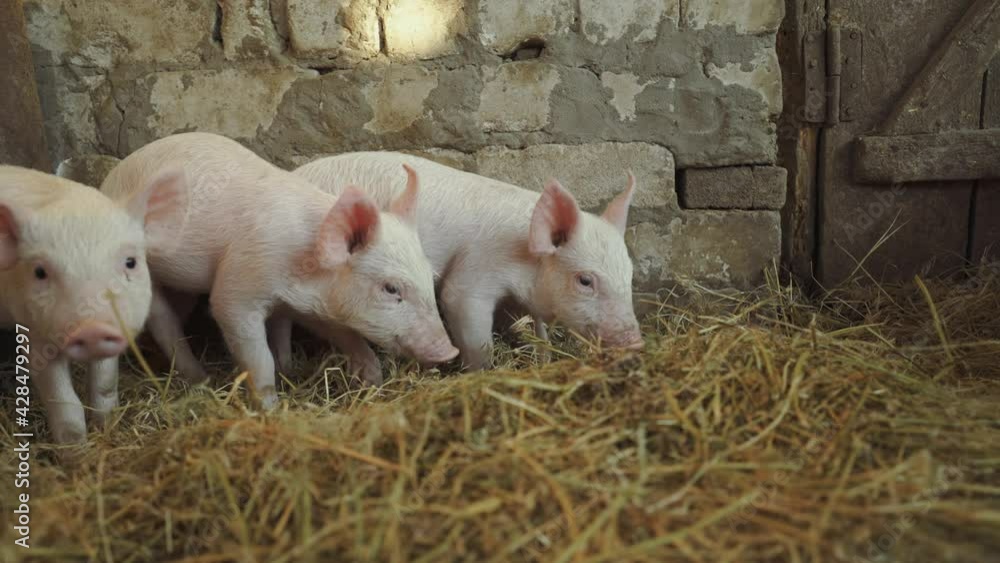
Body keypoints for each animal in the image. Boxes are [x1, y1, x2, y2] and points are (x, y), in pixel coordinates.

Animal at [0, 166, 154, 443]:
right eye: (40, 272)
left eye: (131, 262)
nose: (93, 329)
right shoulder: (34, 331)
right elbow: (64, 401)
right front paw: (76, 450)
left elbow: (105, 384)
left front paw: (107, 429)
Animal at [99, 133, 457, 407]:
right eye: (391, 288)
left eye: (429, 279)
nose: (449, 351)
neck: (303, 266)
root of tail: (111, 177)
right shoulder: (237, 287)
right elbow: (257, 356)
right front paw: (270, 407)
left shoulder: (314, 305)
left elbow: (345, 335)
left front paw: (372, 380)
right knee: (162, 319)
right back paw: (201, 379)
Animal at [292, 152, 643, 371]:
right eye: (585, 280)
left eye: (629, 276)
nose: (636, 341)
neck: (523, 252)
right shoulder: (476, 271)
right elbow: (471, 328)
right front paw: (482, 372)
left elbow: (535, 330)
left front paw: (540, 356)